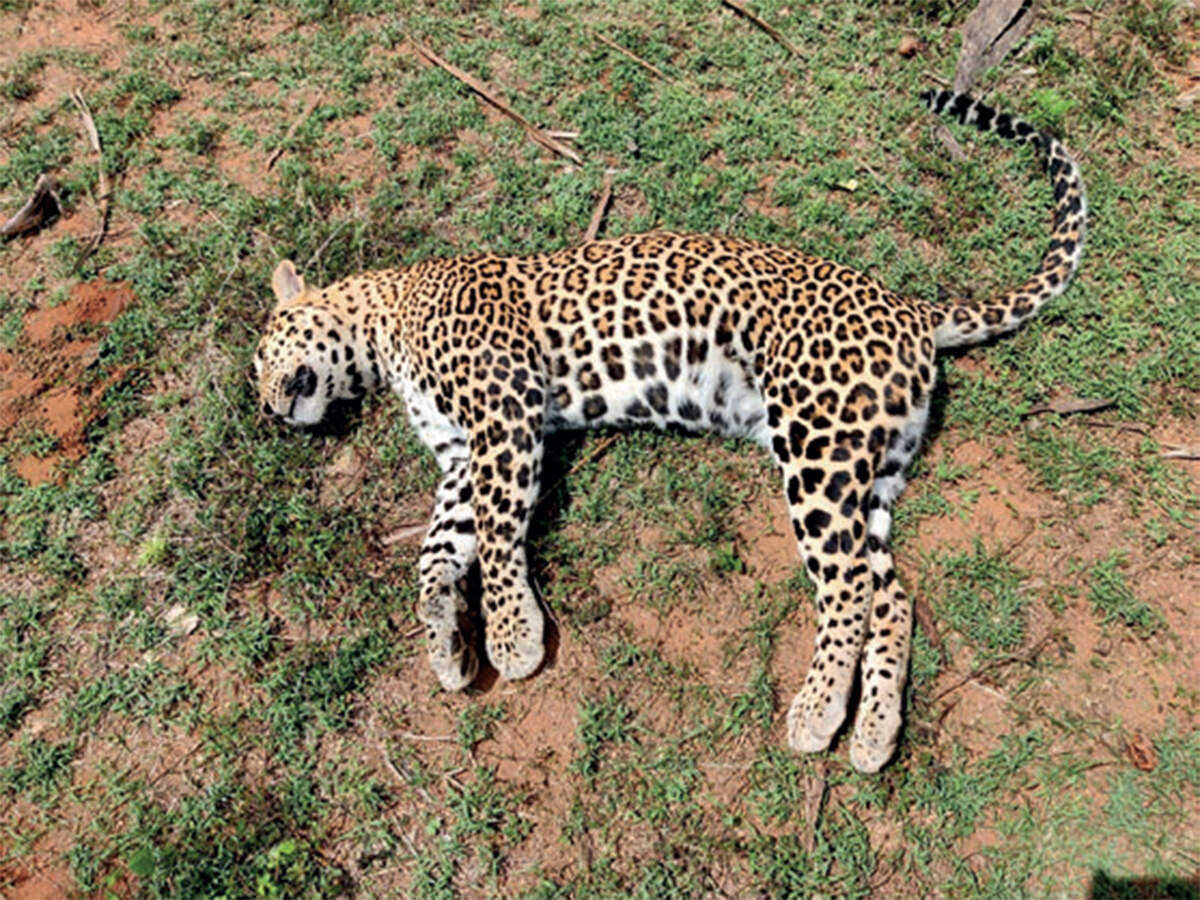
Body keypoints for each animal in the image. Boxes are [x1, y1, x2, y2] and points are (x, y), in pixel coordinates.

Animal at [254, 91, 1087, 773]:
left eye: (262, 356)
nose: (267, 411)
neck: (383, 329)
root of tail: (912, 307)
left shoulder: (503, 418)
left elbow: (495, 535)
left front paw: (512, 637)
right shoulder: (461, 458)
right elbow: (433, 557)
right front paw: (446, 645)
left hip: (816, 445)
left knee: (848, 586)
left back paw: (816, 712)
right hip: (871, 470)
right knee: (892, 595)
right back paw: (872, 732)